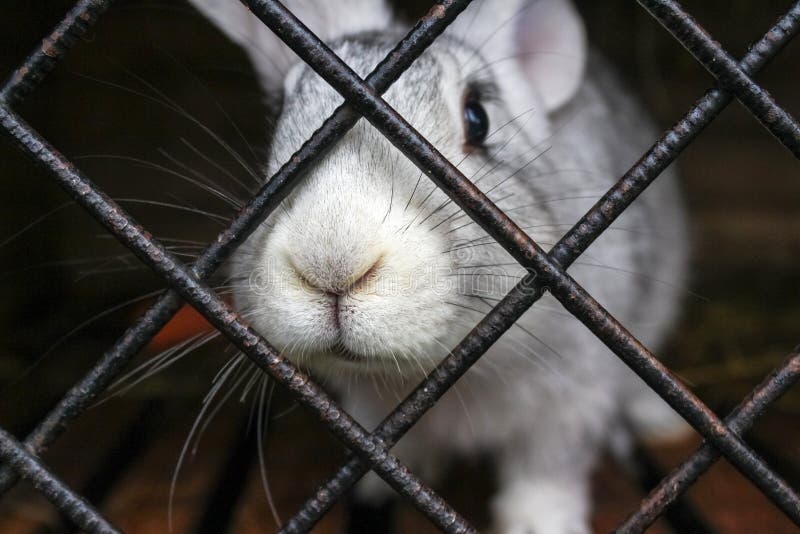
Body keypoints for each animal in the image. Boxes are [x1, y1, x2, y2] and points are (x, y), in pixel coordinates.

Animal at [186, 0, 691, 532]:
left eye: (478, 118)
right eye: (282, 120)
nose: (330, 263)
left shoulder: (571, 401)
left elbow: (548, 471)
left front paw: (539, 524)